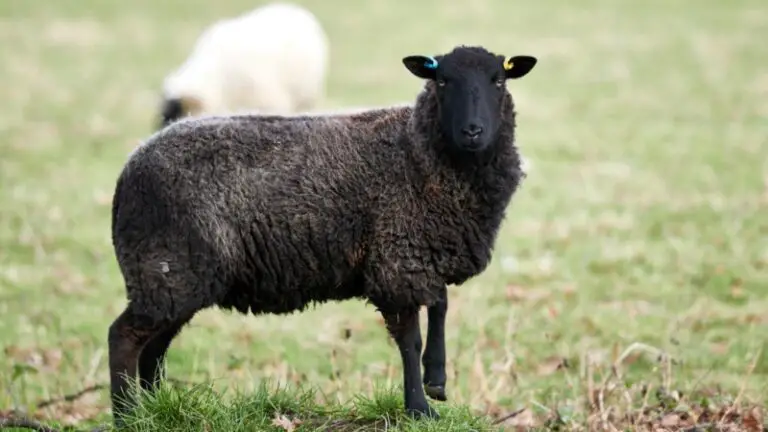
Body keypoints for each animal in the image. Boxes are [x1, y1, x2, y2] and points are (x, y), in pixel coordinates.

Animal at [108, 45, 538, 425]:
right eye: (442, 81)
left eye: (498, 80)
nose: (472, 131)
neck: (417, 150)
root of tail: (130, 165)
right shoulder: (397, 261)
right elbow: (410, 340)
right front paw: (419, 409)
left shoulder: (419, 254)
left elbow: (441, 307)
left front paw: (436, 381)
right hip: (164, 267)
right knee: (124, 337)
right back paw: (128, 416)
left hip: (176, 276)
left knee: (154, 347)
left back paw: (156, 409)